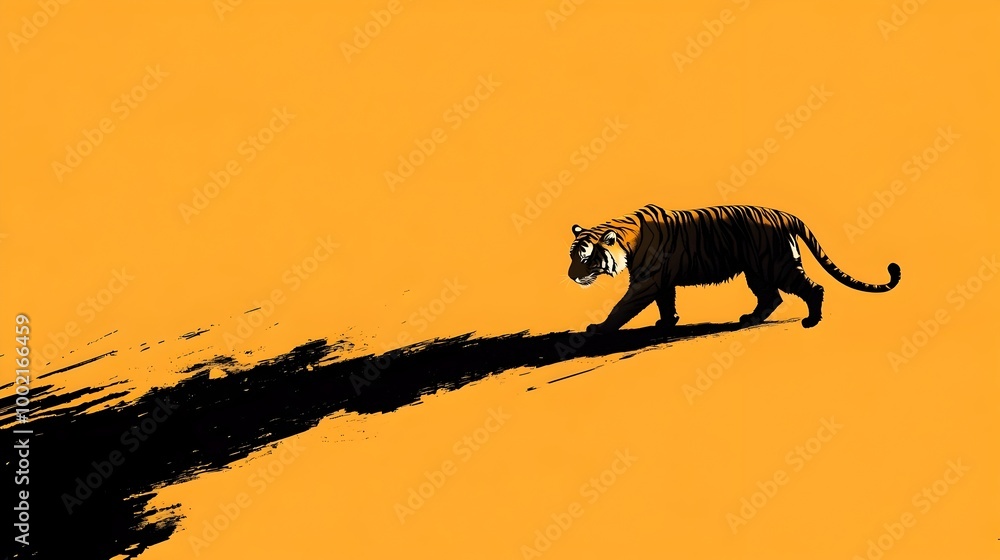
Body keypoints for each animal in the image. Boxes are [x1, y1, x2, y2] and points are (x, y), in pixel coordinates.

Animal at [567, 204, 900, 332]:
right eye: (571, 256)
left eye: (585, 258)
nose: (570, 276)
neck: (627, 240)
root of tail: (785, 214)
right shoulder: (660, 280)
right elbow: (666, 302)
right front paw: (667, 322)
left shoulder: (646, 281)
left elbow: (622, 307)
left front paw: (599, 328)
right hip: (757, 270)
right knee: (772, 297)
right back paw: (750, 318)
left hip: (776, 265)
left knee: (812, 288)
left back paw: (812, 321)